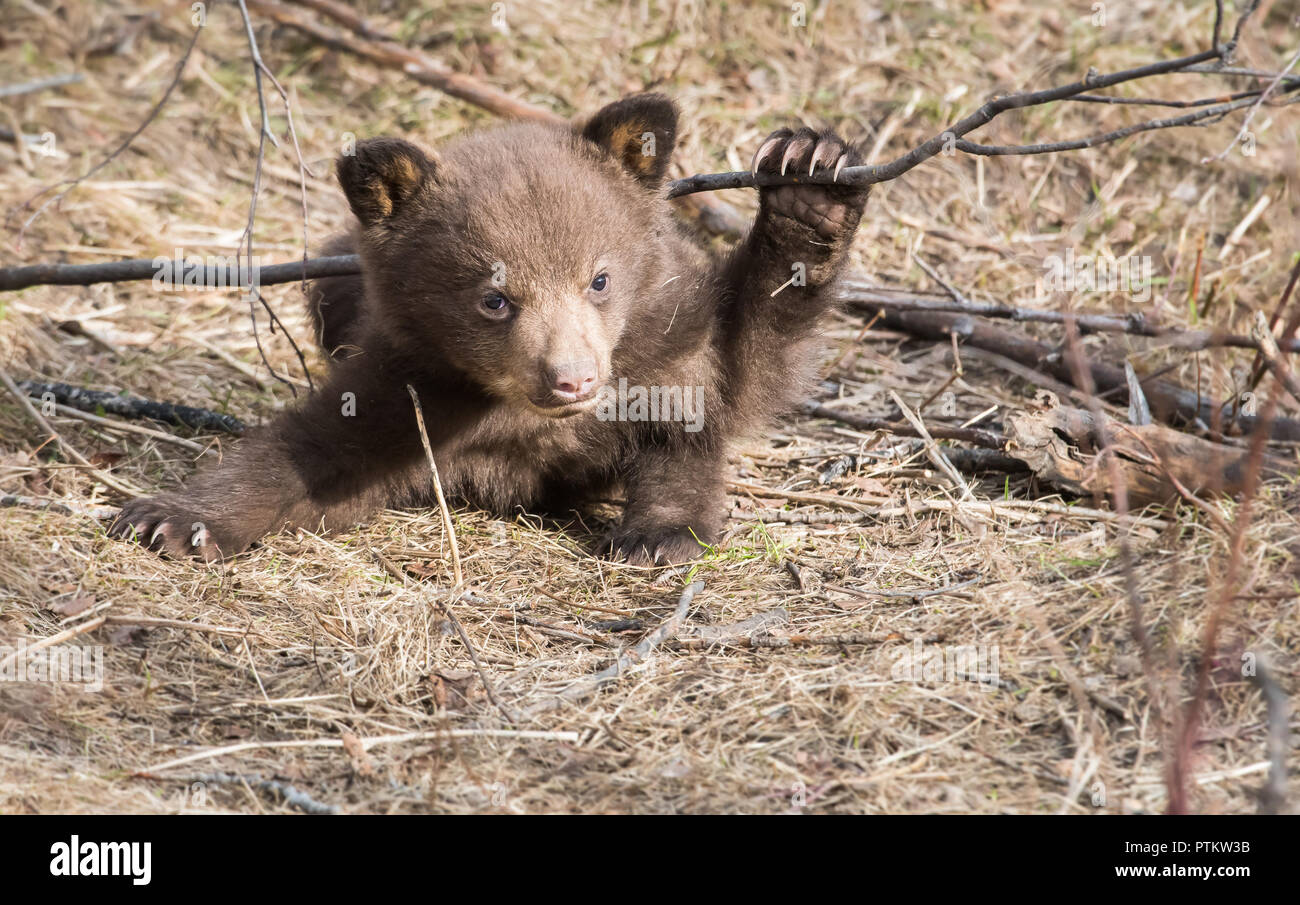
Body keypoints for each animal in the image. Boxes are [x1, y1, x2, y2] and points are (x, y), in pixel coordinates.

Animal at [111, 94, 868, 565]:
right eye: (494, 299)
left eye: (600, 279)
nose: (572, 380)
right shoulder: (414, 383)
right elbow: (313, 450)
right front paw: (172, 518)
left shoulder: (672, 339)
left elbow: (737, 377)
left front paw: (809, 179)